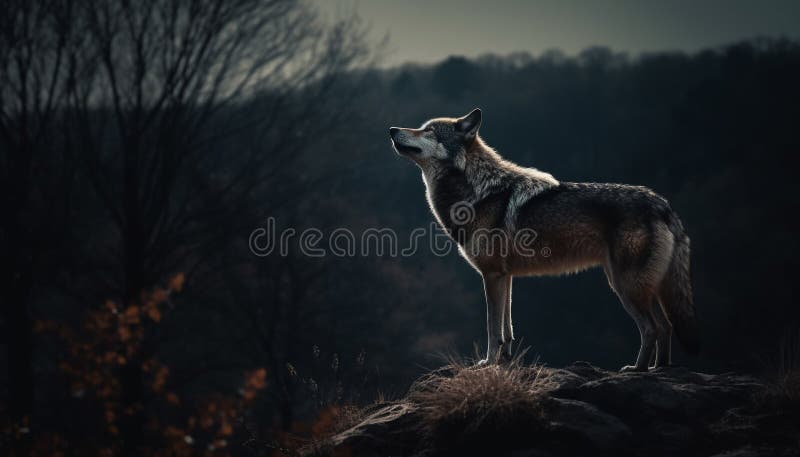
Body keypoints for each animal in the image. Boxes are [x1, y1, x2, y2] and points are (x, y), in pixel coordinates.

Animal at [389, 108, 699, 371]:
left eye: (428, 130)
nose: (392, 129)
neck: (477, 191)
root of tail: (662, 204)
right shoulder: (506, 277)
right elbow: (507, 329)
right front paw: (505, 361)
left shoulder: (491, 275)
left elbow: (492, 328)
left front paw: (487, 363)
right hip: (641, 286)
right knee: (666, 327)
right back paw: (660, 369)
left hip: (626, 287)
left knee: (652, 328)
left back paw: (638, 369)